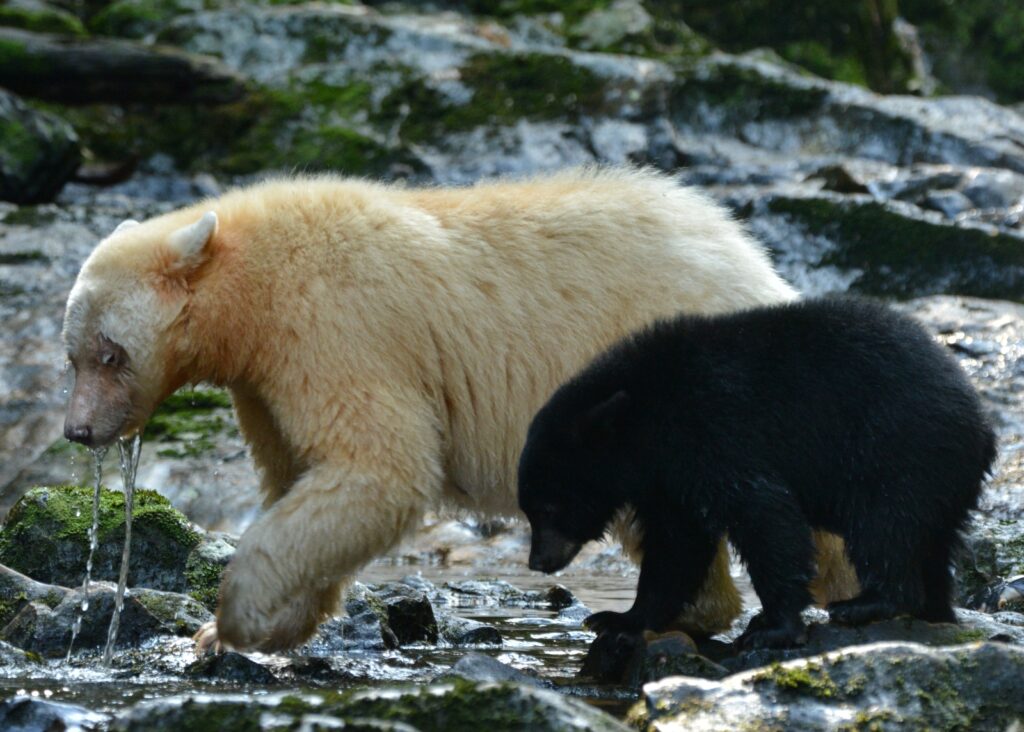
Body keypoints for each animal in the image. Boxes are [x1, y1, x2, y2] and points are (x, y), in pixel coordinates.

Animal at [61, 166, 855, 652]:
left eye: (110, 352)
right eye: (70, 354)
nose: (78, 429)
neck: (253, 276)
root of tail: (755, 263)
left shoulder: (334, 326)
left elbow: (378, 465)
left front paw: (237, 616)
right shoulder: (265, 382)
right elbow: (298, 475)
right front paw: (265, 625)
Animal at [518, 296, 996, 649]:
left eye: (548, 507)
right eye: (530, 509)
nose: (537, 561)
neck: (648, 417)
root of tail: (982, 422)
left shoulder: (716, 432)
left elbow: (765, 516)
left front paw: (772, 627)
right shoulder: (670, 481)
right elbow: (676, 546)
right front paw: (620, 619)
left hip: (898, 451)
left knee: (884, 526)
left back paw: (867, 603)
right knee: (932, 542)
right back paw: (934, 608)